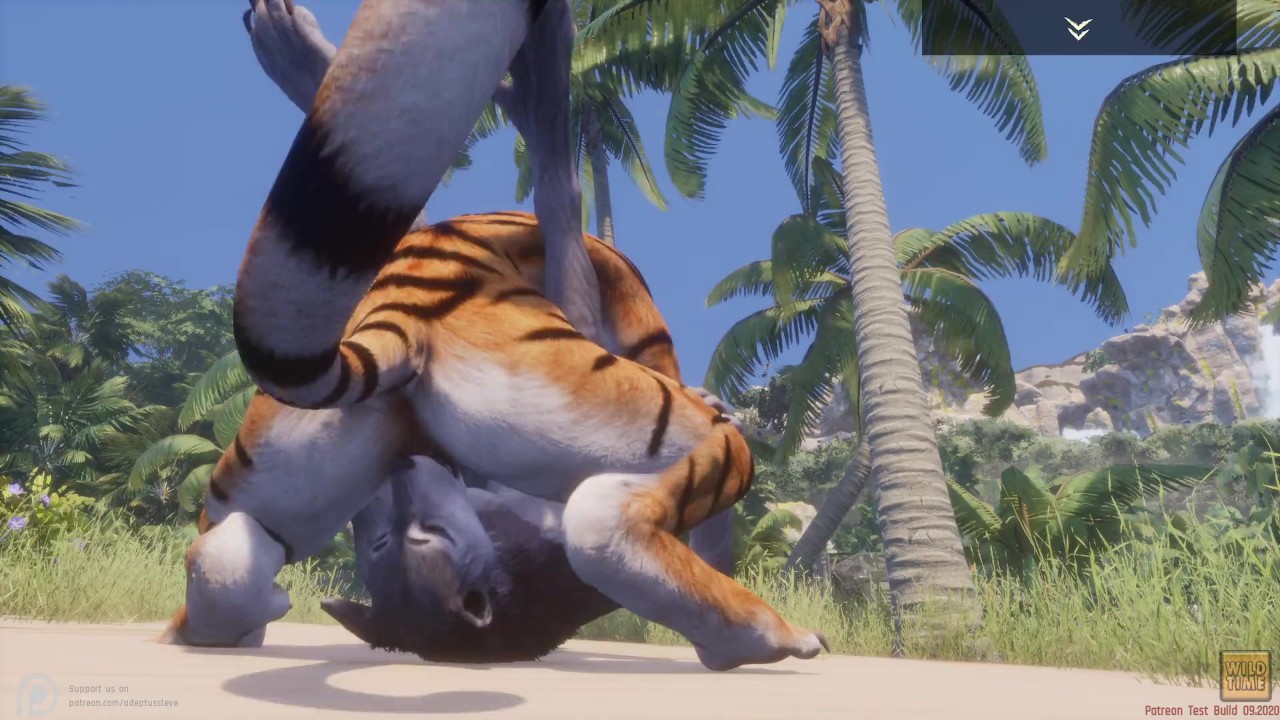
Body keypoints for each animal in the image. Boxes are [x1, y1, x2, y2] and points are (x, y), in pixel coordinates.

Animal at [191, 0, 827, 670]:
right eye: (399, 539)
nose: (404, 470)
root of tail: (405, 329)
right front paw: (764, 641)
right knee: (554, 181)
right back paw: (538, 68)